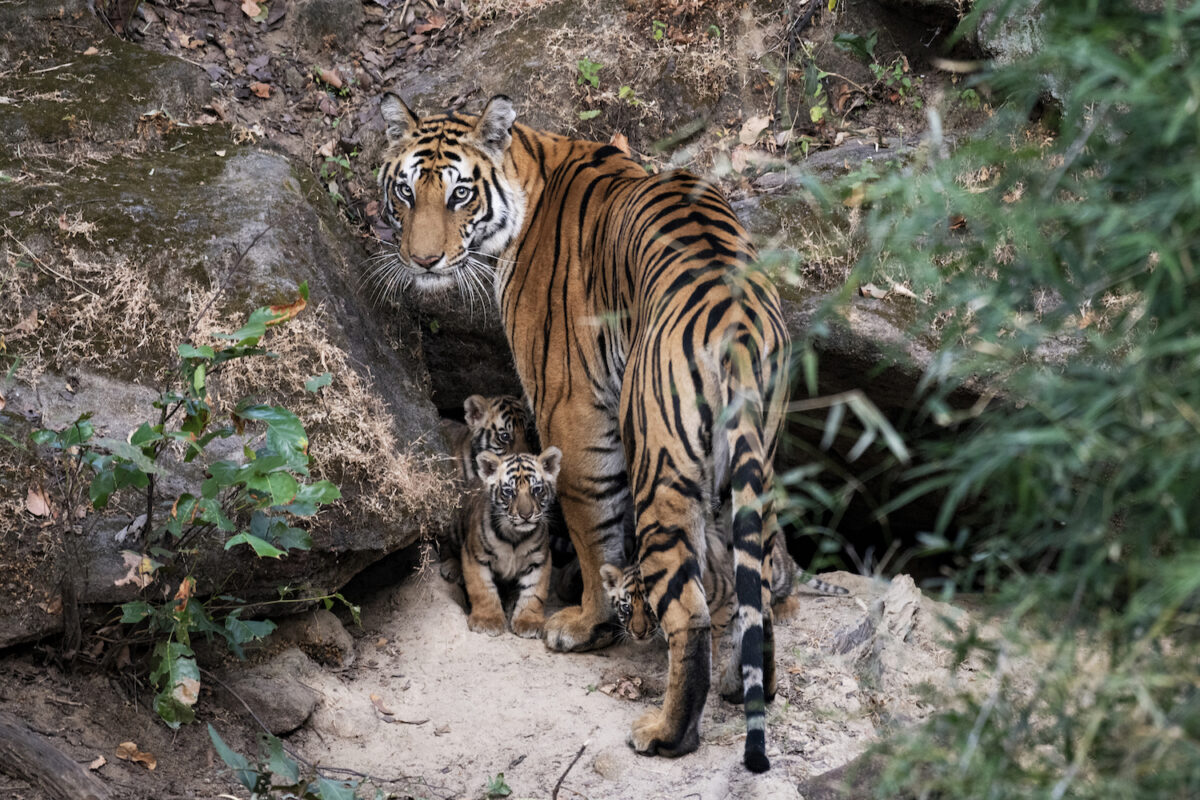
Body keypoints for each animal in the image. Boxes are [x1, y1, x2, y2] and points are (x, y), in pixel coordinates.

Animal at [447, 447, 562, 638]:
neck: (514, 535)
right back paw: (451, 567)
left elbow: (534, 592)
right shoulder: (475, 555)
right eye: (509, 492)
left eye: (537, 489)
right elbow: (483, 589)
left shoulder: (540, 559)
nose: (526, 515)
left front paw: (529, 622)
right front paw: (487, 621)